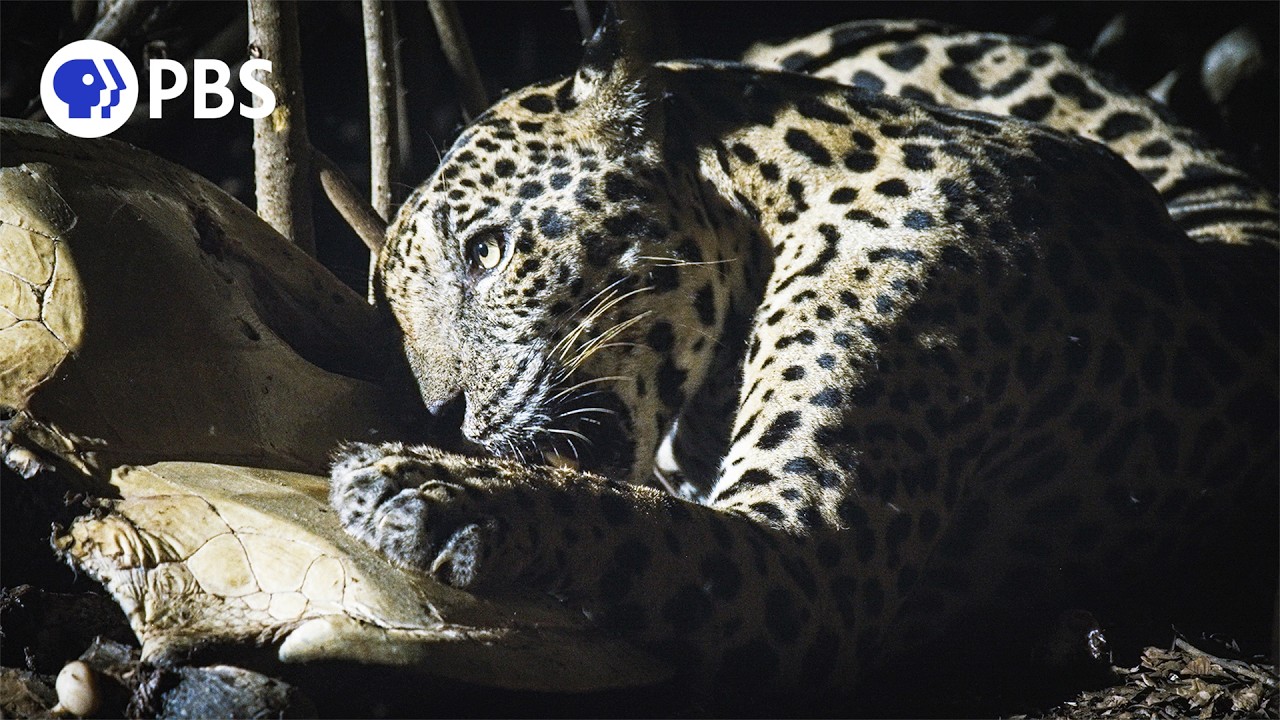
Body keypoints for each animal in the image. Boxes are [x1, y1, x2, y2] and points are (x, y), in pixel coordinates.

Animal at [329, 15, 1278, 705]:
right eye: (398, 319)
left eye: (487, 251)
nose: (443, 417)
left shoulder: (810, 553)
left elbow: (629, 518)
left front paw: (431, 486)